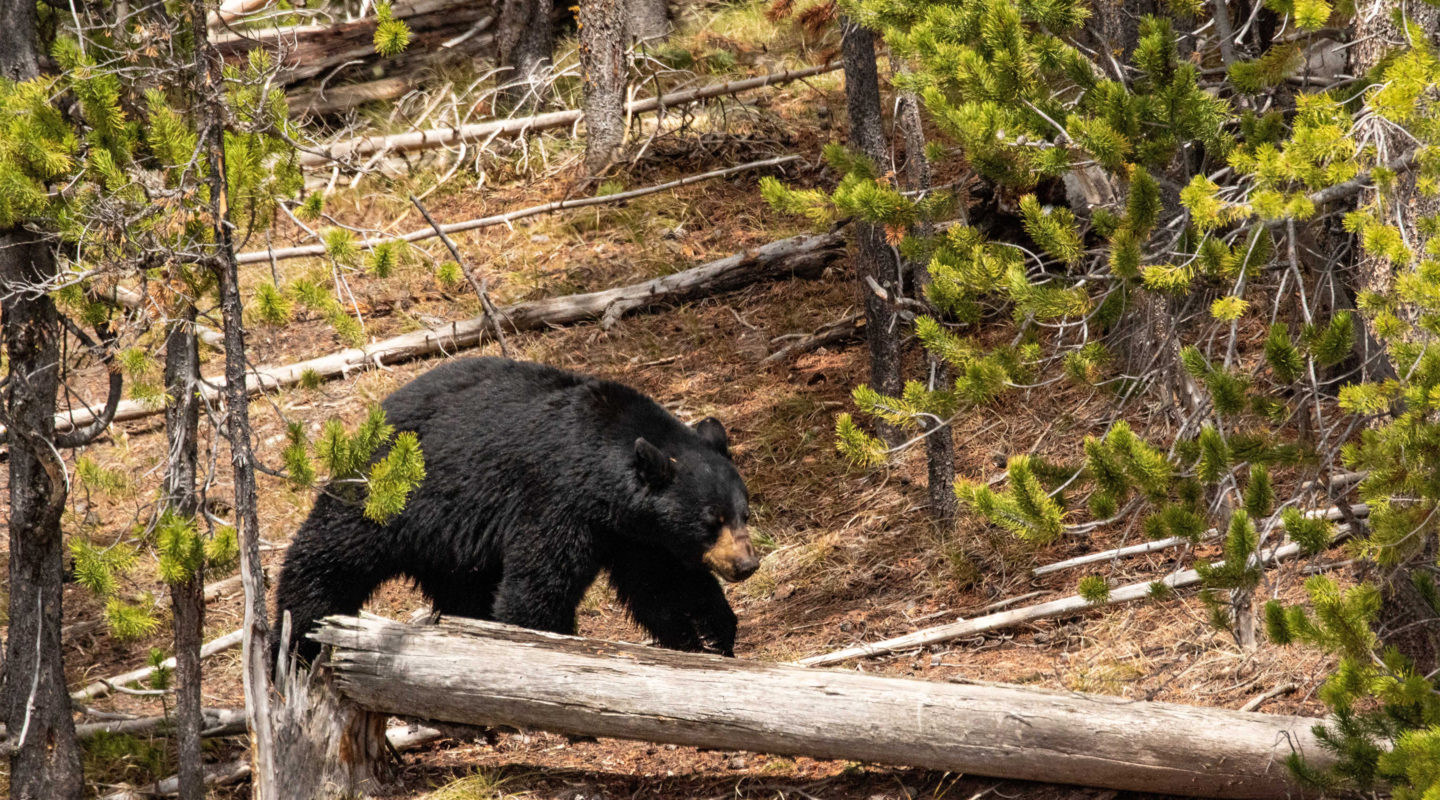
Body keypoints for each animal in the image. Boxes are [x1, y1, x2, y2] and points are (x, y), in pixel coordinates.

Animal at [272, 357, 759, 665]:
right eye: (710, 521)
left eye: (744, 513)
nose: (747, 564)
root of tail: (379, 410)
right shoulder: (557, 500)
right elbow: (538, 583)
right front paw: (538, 645)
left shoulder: (635, 533)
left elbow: (662, 583)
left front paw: (713, 633)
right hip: (389, 490)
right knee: (330, 554)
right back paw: (299, 636)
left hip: (452, 546)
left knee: (463, 588)